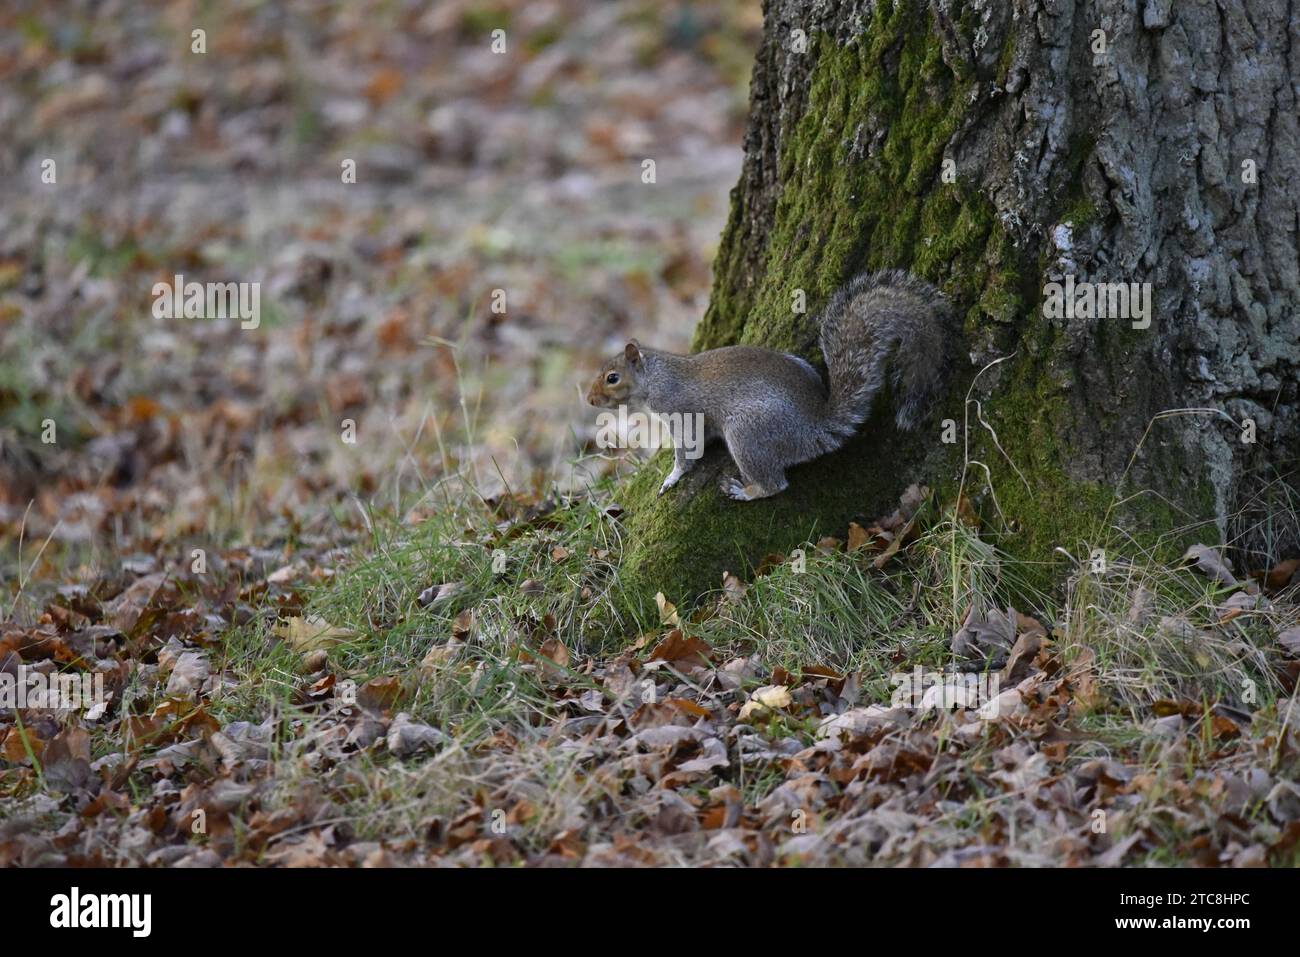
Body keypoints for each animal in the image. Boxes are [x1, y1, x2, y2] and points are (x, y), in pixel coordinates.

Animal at [586, 269, 953, 501]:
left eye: (612, 377)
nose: (589, 400)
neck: (656, 376)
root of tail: (814, 424)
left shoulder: (681, 412)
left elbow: (688, 451)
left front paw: (672, 477)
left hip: (748, 434)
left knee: (776, 483)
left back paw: (746, 491)